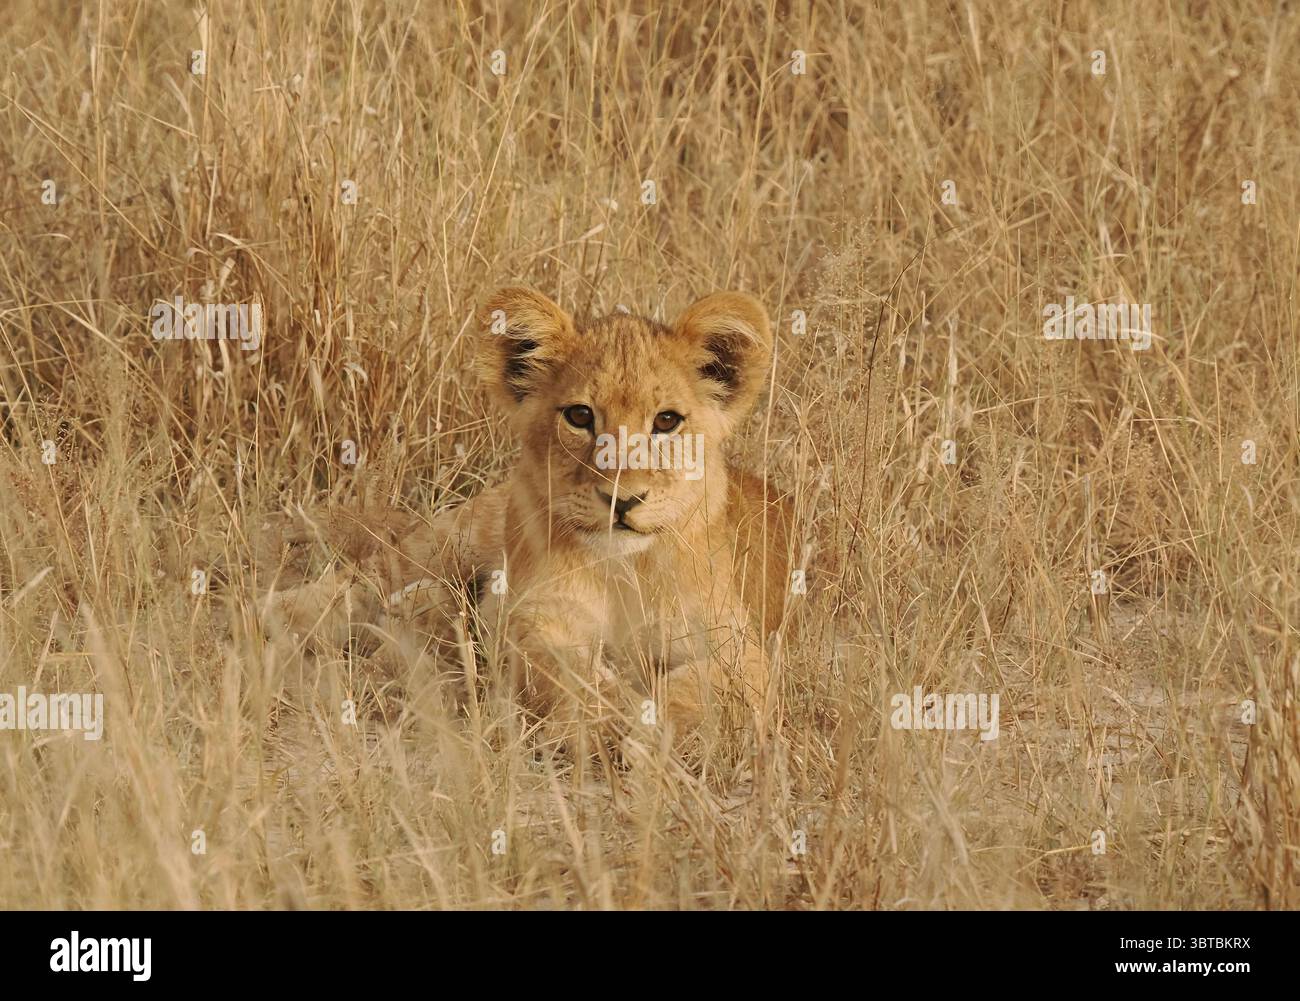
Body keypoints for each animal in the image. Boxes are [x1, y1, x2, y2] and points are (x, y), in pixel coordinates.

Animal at [261, 287, 800, 744]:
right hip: (449, 539)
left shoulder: (741, 646)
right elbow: (558, 670)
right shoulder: (537, 616)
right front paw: (604, 715)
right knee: (357, 582)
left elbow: (706, 689)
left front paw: (644, 724)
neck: (625, 568)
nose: (622, 500)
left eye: (667, 421)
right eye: (580, 416)